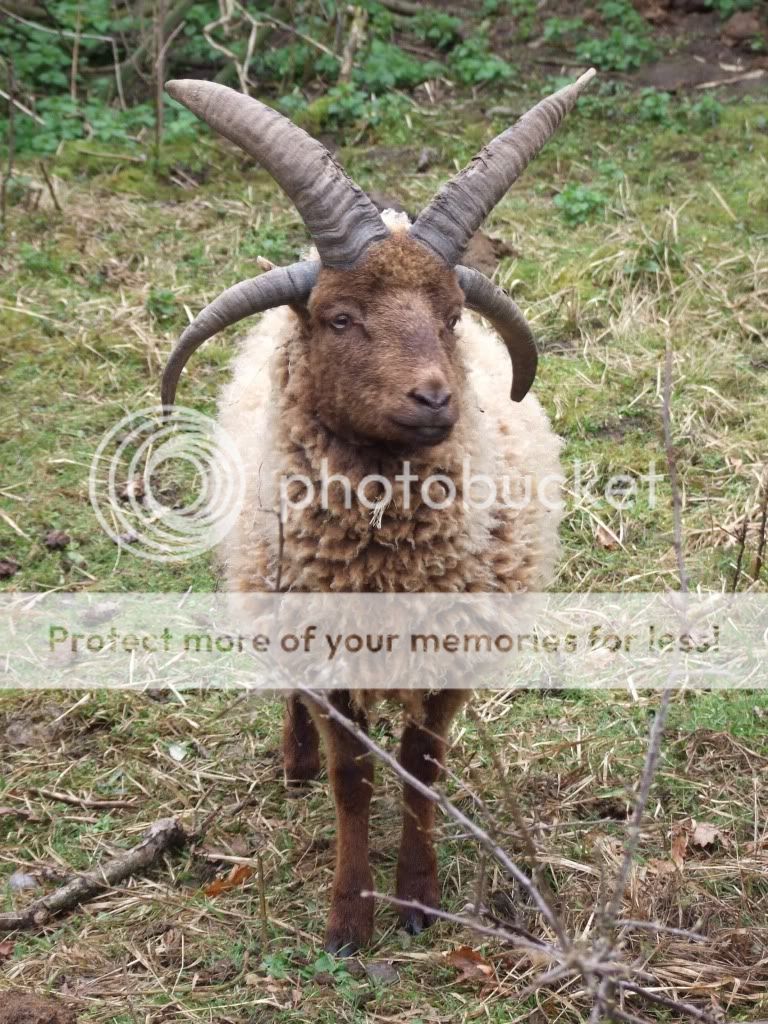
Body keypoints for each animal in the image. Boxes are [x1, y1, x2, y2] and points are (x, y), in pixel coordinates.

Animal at [162, 69, 596, 955]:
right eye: (339, 317)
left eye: (453, 316)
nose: (434, 398)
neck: (388, 562)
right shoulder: (326, 649)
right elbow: (353, 779)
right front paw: (349, 919)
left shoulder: (453, 651)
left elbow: (422, 771)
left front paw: (419, 900)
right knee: (291, 702)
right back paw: (292, 762)